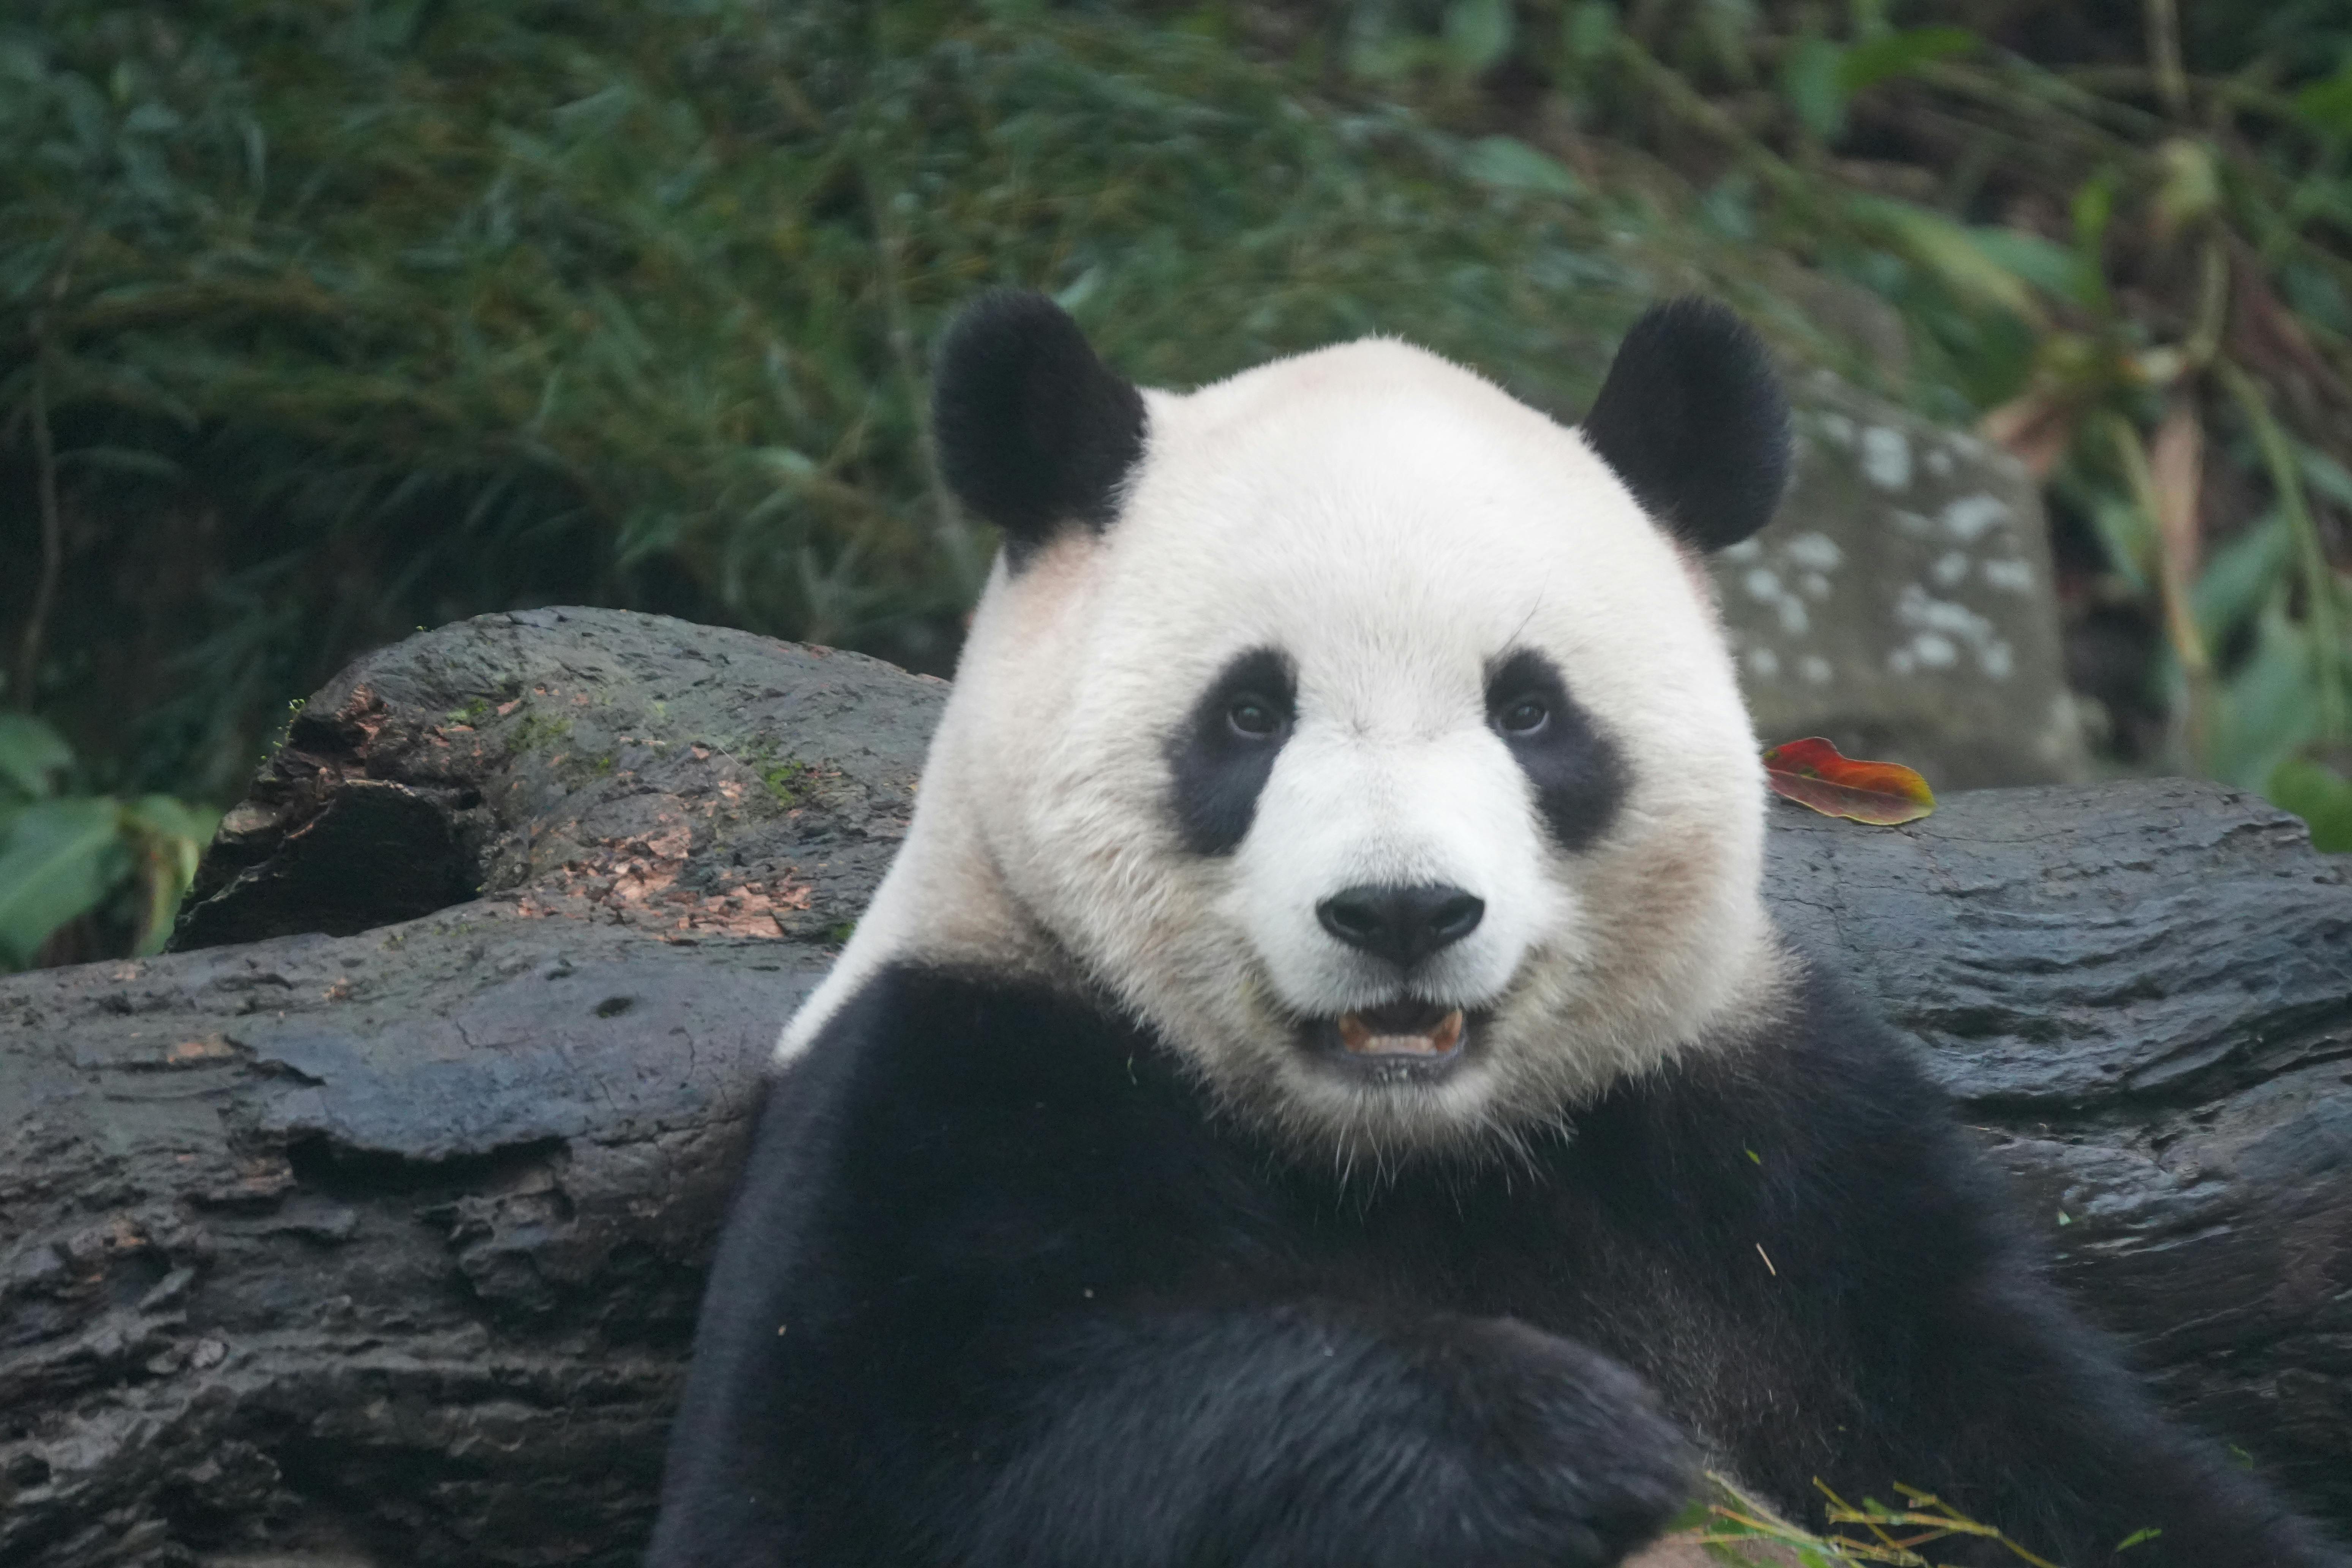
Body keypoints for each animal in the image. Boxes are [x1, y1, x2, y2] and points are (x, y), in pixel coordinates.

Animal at [648, 292, 2347, 1568]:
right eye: (1249, 714)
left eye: (1530, 711)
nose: (1402, 909)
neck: (1412, 1149)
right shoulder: (954, 1077)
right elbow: (876, 1469)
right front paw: (1552, 1440)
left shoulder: (1760, 1145)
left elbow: (2038, 1452)